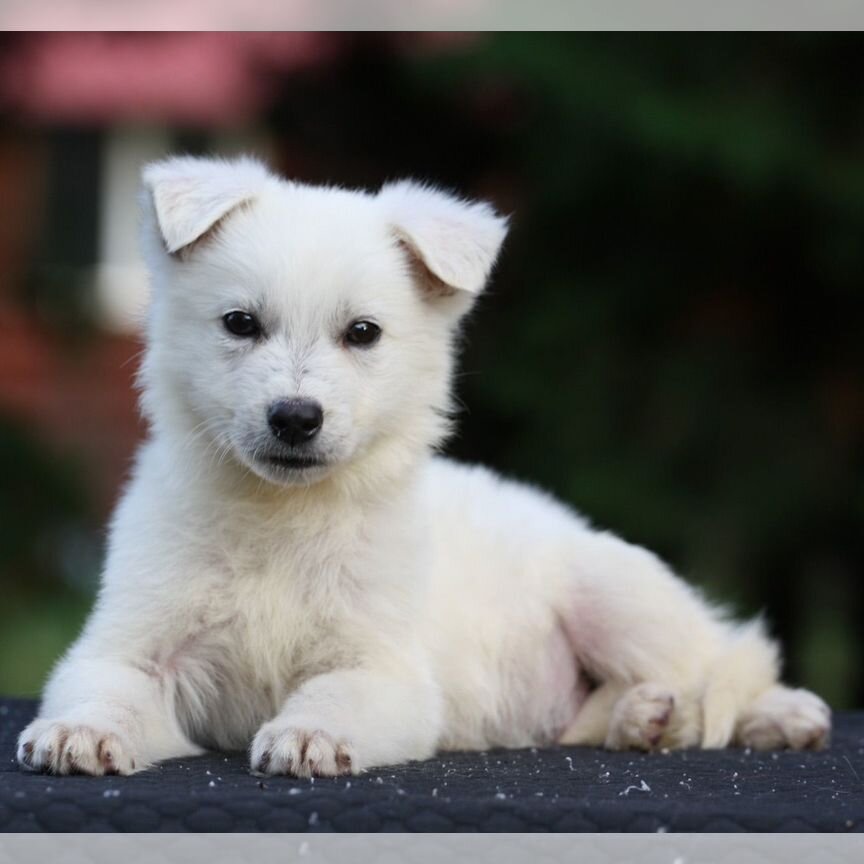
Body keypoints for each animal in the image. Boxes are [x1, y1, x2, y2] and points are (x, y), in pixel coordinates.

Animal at [16, 155, 832, 776]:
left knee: (721, 662)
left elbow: (334, 696)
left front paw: (310, 735)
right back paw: (644, 720)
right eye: (240, 324)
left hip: (616, 594)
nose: (295, 418)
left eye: (363, 333)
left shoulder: (385, 671)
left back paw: (776, 715)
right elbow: (103, 687)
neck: (284, 519)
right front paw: (80, 731)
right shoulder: (132, 646)